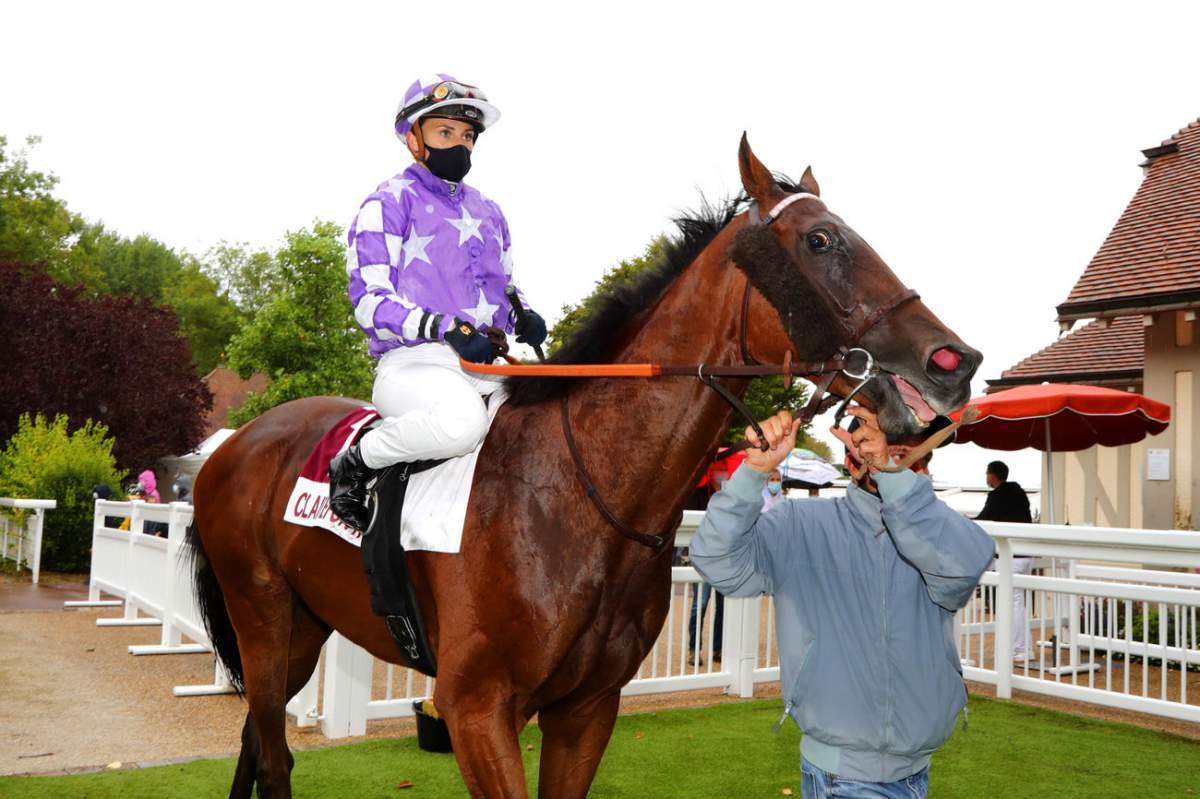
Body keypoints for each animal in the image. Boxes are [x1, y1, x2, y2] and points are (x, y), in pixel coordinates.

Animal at [187, 136, 981, 798]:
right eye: (821, 240)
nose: (956, 361)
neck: (582, 499)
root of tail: (232, 446)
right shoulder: (476, 709)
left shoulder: (588, 709)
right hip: (261, 617)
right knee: (274, 755)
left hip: (304, 625)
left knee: (258, 743)